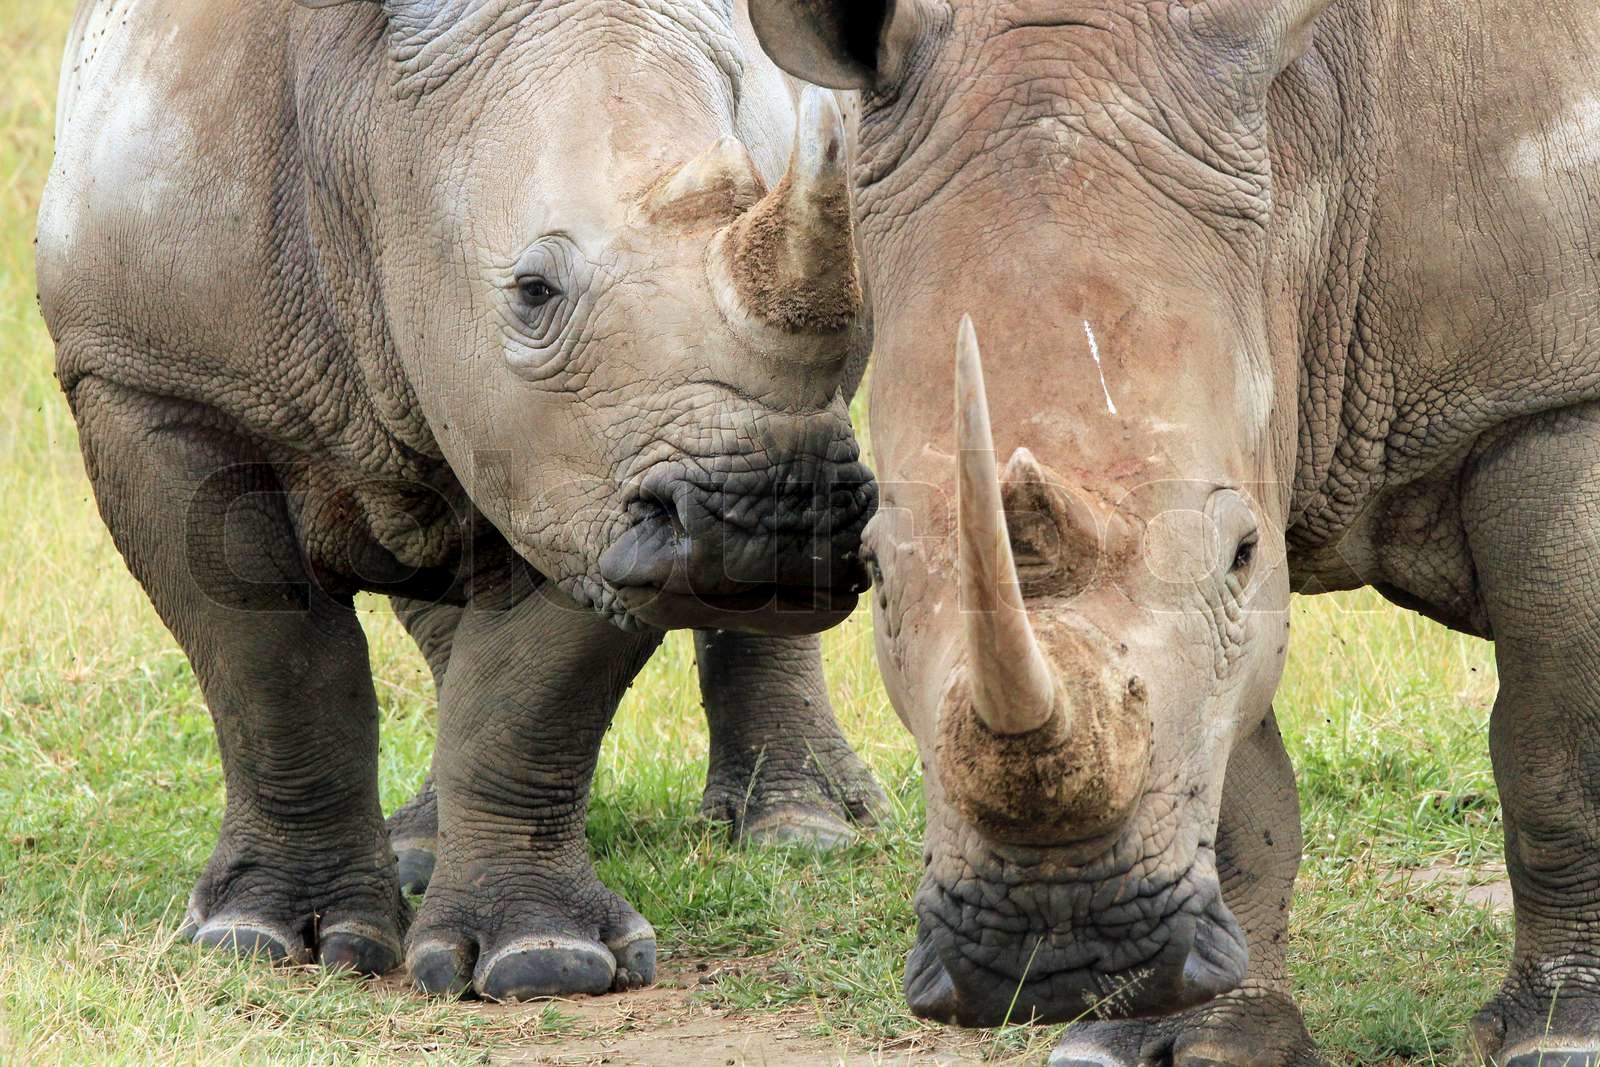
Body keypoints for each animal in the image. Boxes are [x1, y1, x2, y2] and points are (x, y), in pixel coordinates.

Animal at [37, 0, 885, 1003]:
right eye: (533, 291)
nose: (772, 520)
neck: (374, 136)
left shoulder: (583, 477)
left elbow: (533, 692)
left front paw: (541, 962)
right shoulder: (148, 374)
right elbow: (269, 664)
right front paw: (264, 939)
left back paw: (804, 833)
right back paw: (418, 850)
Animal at [753, 0, 1600, 1063]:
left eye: (1239, 554)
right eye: (874, 573)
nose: (1057, 949)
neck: (1300, 146)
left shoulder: (1548, 398)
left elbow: (1555, 747)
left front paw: (1558, 1031)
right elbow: (1237, 780)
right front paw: (1193, 1037)